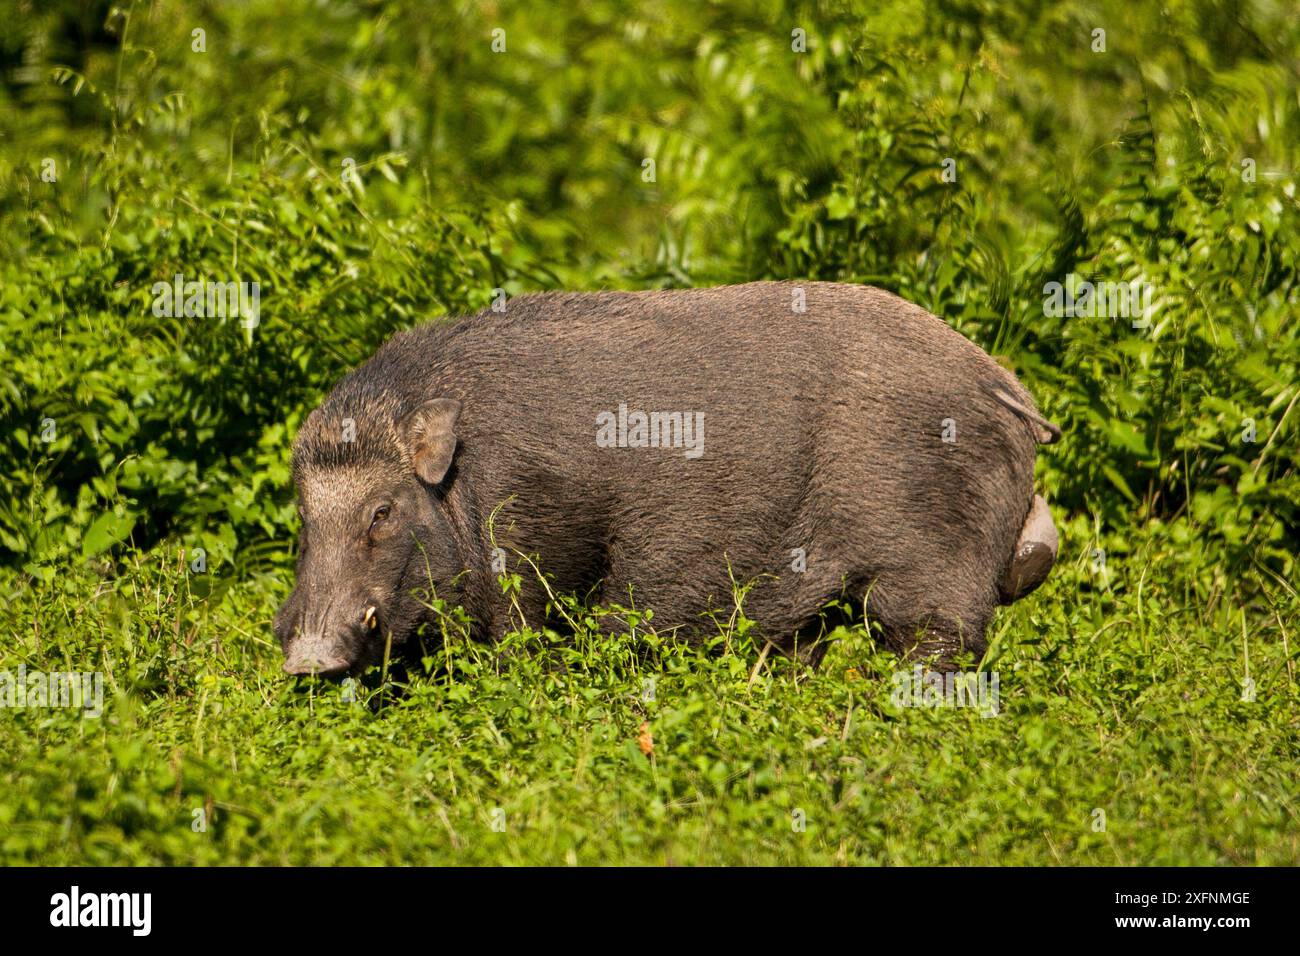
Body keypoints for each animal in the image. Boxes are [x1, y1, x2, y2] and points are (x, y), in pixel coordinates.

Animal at [274, 281, 1059, 677]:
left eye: (381, 512)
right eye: (305, 519)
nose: (307, 658)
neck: (464, 480)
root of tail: (1009, 392)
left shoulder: (535, 550)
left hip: (932, 578)